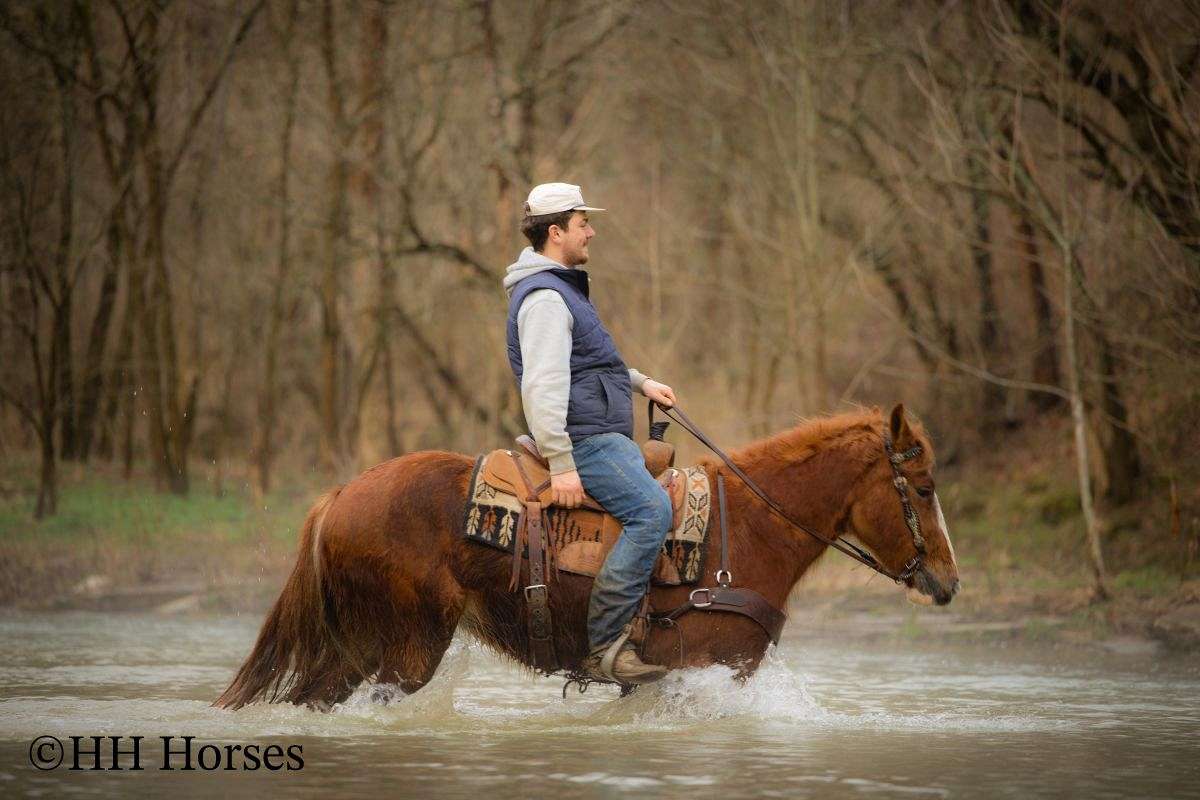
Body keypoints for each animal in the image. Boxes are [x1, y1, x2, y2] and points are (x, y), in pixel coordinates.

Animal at [214, 403, 959, 710]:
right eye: (923, 488)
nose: (950, 582)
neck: (744, 530)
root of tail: (339, 497)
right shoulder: (707, 670)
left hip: (356, 647)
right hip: (405, 647)